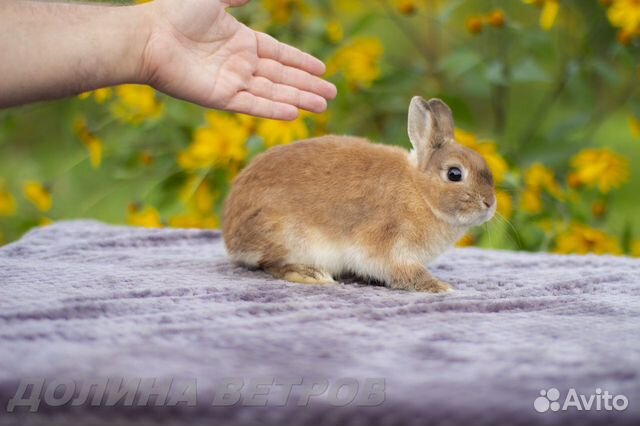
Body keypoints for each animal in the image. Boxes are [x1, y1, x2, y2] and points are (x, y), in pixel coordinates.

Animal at [222, 97, 496, 293]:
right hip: (288, 237)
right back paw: (311, 274)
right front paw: (439, 287)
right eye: (454, 174)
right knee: (270, 263)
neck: (421, 192)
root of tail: (232, 230)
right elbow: (404, 272)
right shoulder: (390, 246)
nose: (489, 204)